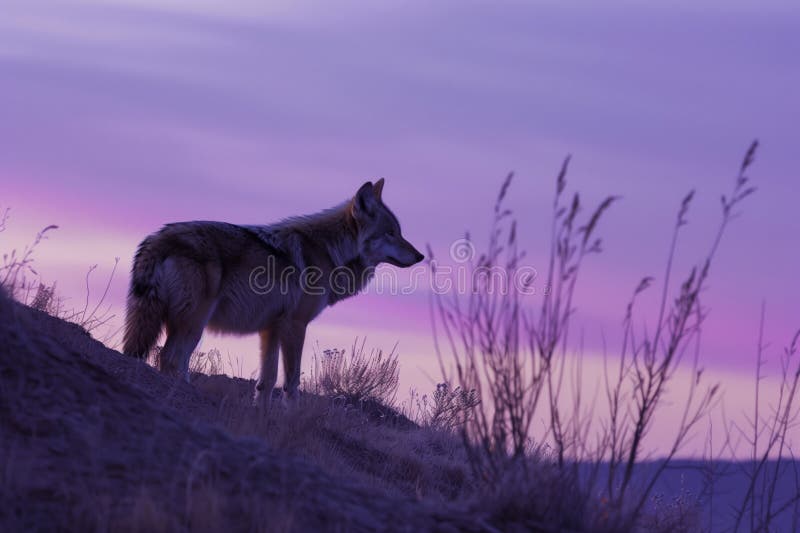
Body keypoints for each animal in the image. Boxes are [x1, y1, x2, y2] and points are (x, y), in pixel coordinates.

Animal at [122, 179, 424, 407]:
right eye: (391, 233)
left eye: (399, 232)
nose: (420, 256)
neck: (331, 252)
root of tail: (158, 238)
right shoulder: (295, 325)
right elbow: (292, 381)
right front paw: (293, 418)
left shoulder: (271, 329)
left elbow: (266, 381)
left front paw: (263, 416)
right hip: (194, 324)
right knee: (171, 358)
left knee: (170, 359)